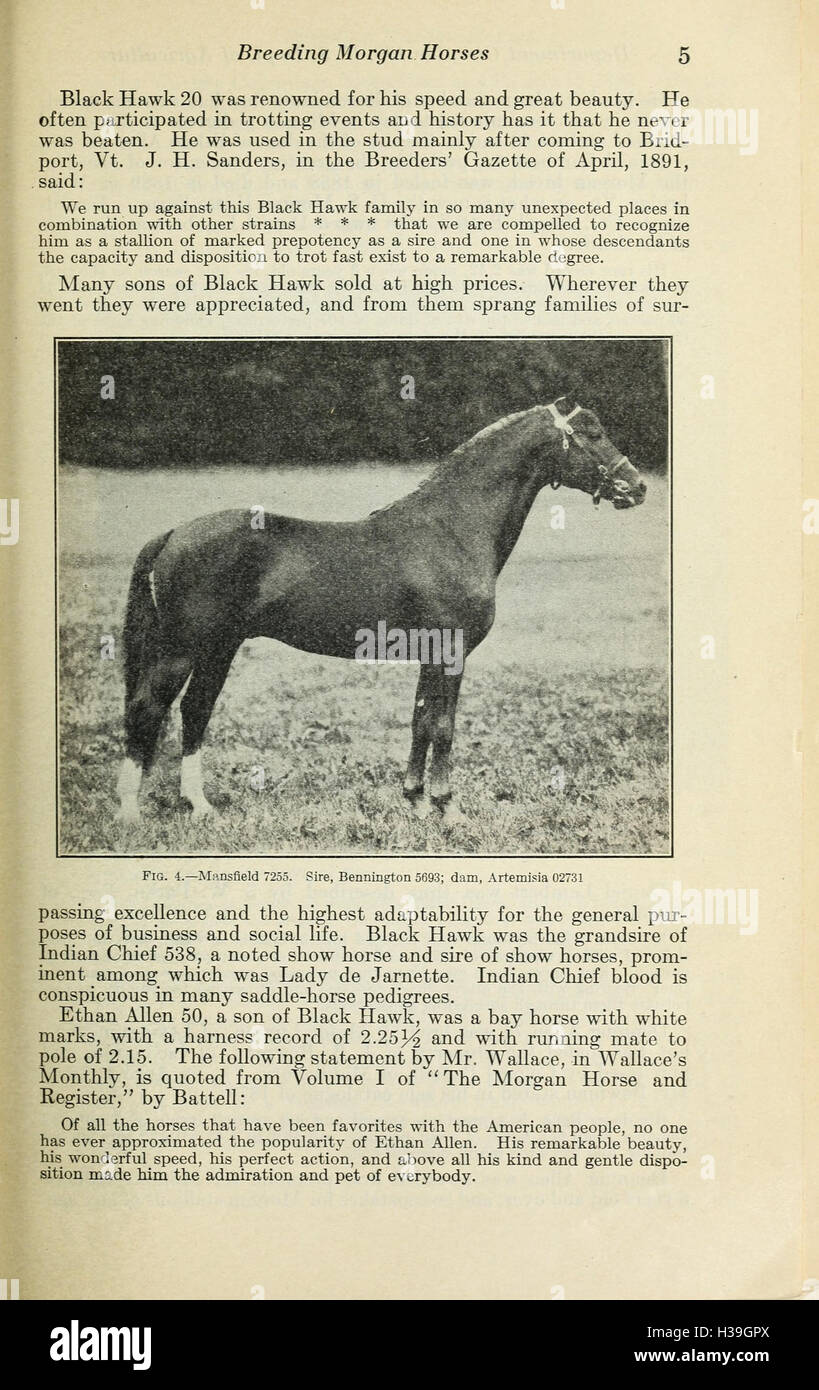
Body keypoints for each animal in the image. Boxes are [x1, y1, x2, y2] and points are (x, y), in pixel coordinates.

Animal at [115, 396, 647, 826]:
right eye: (592, 432)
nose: (637, 487)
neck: (451, 531)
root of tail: (172, 534)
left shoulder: (430, 655)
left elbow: (420, 722)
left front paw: (416, 800)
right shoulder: (450, 653)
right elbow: (444, 727)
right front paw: (449, 807)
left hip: (219, 648)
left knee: (195, 711)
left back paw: (200, 806)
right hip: (181, 649)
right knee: (147, 708)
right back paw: (130, 814)